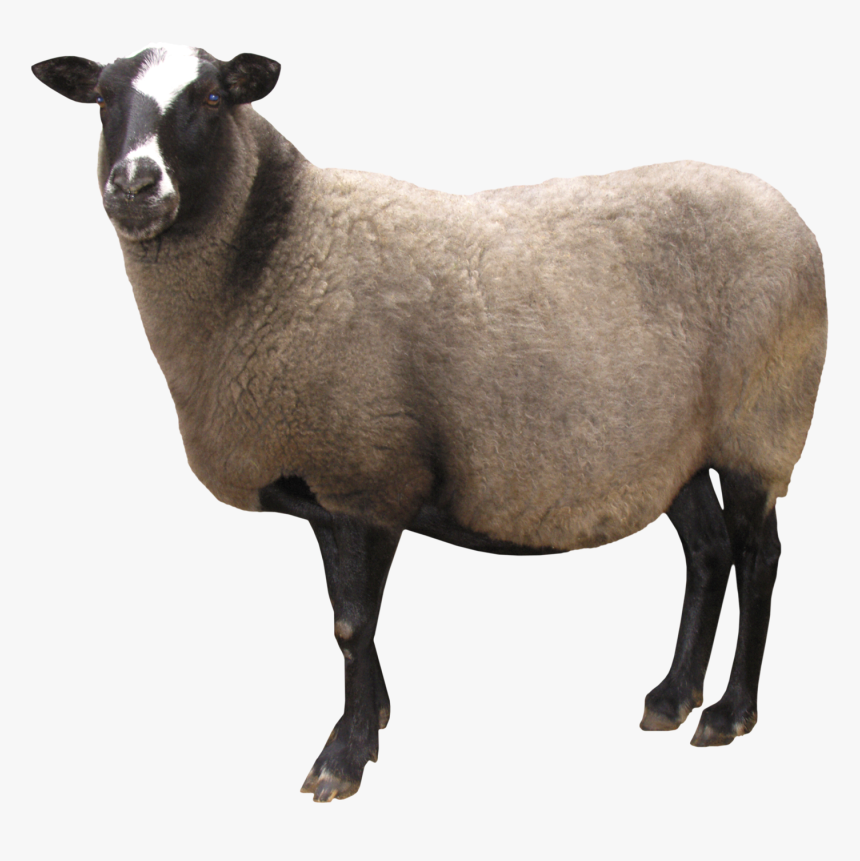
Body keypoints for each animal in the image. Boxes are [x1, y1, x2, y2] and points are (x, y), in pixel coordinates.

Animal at [32, 43, 827, 802]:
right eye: (102, 97)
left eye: (212, 97)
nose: (135, 186)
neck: (279, 251)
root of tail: (787, 212)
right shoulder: (330, 485)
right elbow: (347, 619)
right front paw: (371, 719)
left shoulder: (369, 472)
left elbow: (353, 623)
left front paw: (342, 759)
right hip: (674, 447)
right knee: (708, 551)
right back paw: (672, 697)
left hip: (761, 426)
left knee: (758, 557)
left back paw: (729, 712)